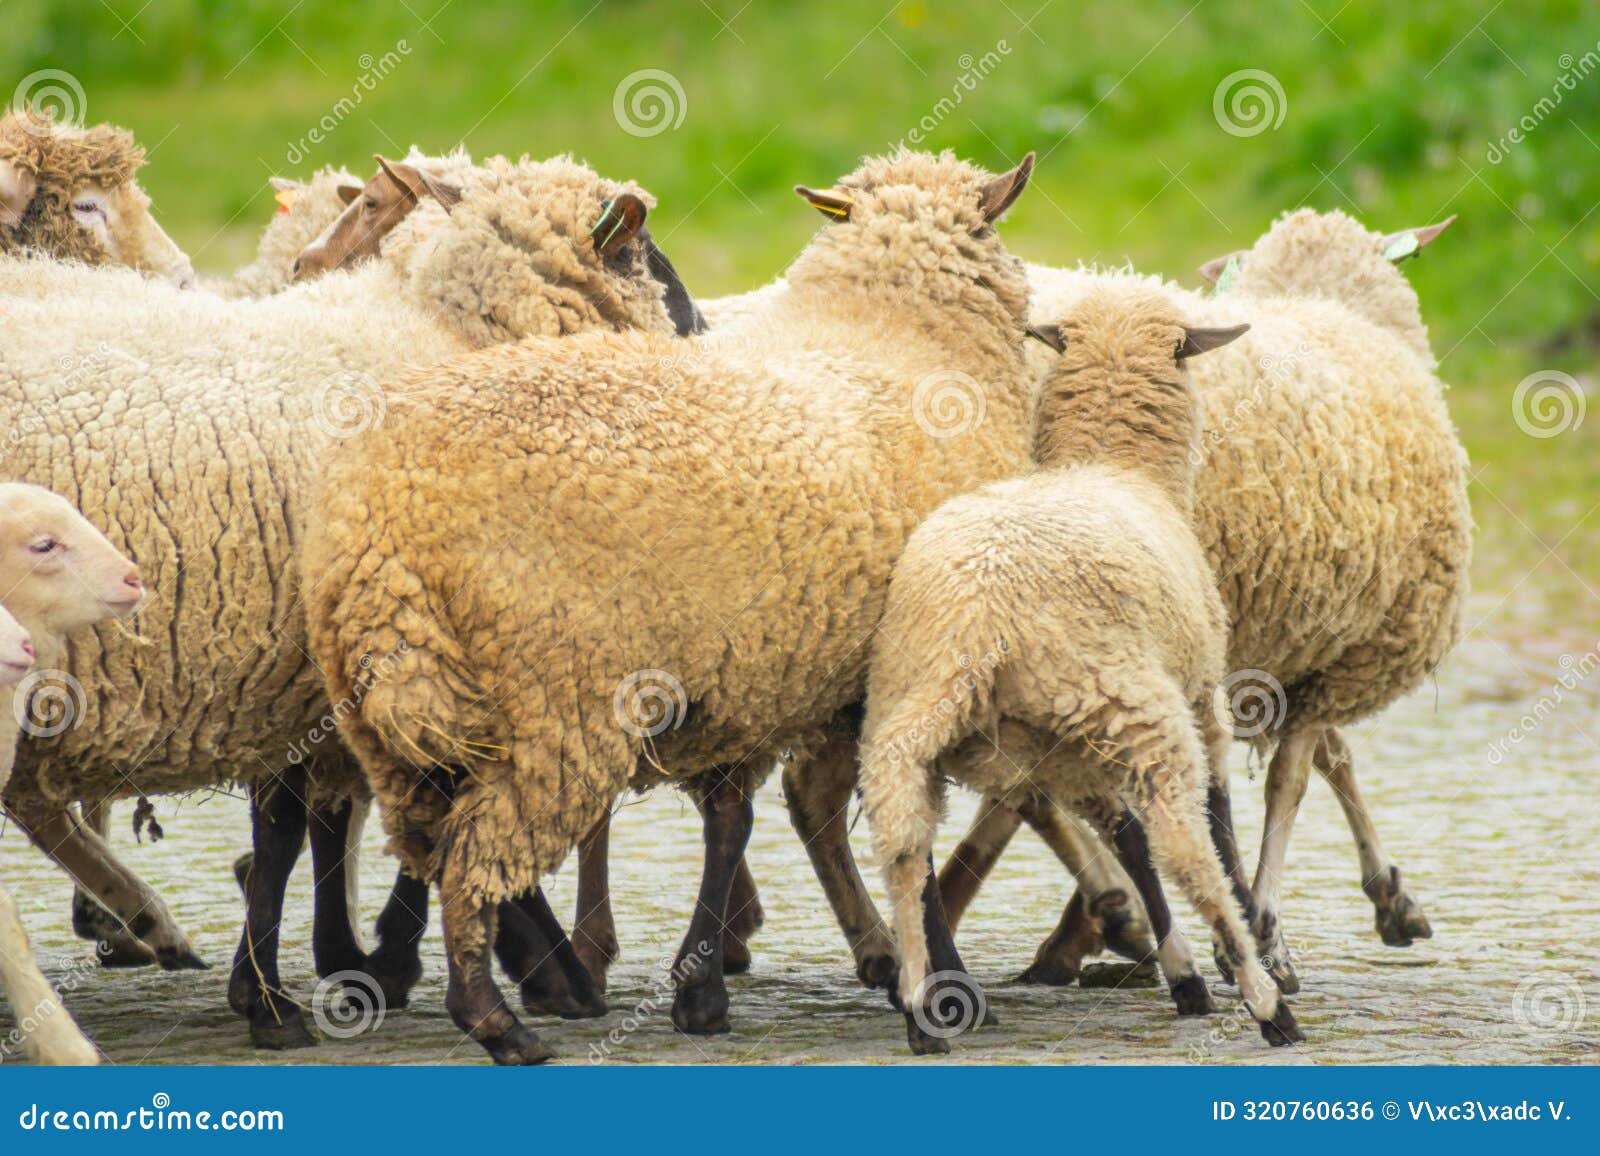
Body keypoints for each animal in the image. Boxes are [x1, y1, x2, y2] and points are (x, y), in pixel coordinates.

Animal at [303, 148, 1041, 1064]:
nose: (695, 323)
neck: (896, 338)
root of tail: (385, 522)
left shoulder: (742, 670)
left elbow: (734, 818)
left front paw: (703, 987)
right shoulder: (898, 663)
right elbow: (903, 831)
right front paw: (940, 982)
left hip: (399, 718)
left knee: (432, 843)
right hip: (559, 701)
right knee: (477, 857)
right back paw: (502, 1021)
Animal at [856, 288, 1305, 1055]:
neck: (1113, 464)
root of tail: (978, 620)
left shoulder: (1069, 758)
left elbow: (1126, 839)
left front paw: (1182, 973)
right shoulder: (1200, 697)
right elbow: (1208, 825)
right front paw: (1227, 955)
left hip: (905, 712)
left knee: (904, 844)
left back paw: (920, 1007)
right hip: (1134, 702)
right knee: (1186, 847)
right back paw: (1268, 1005)